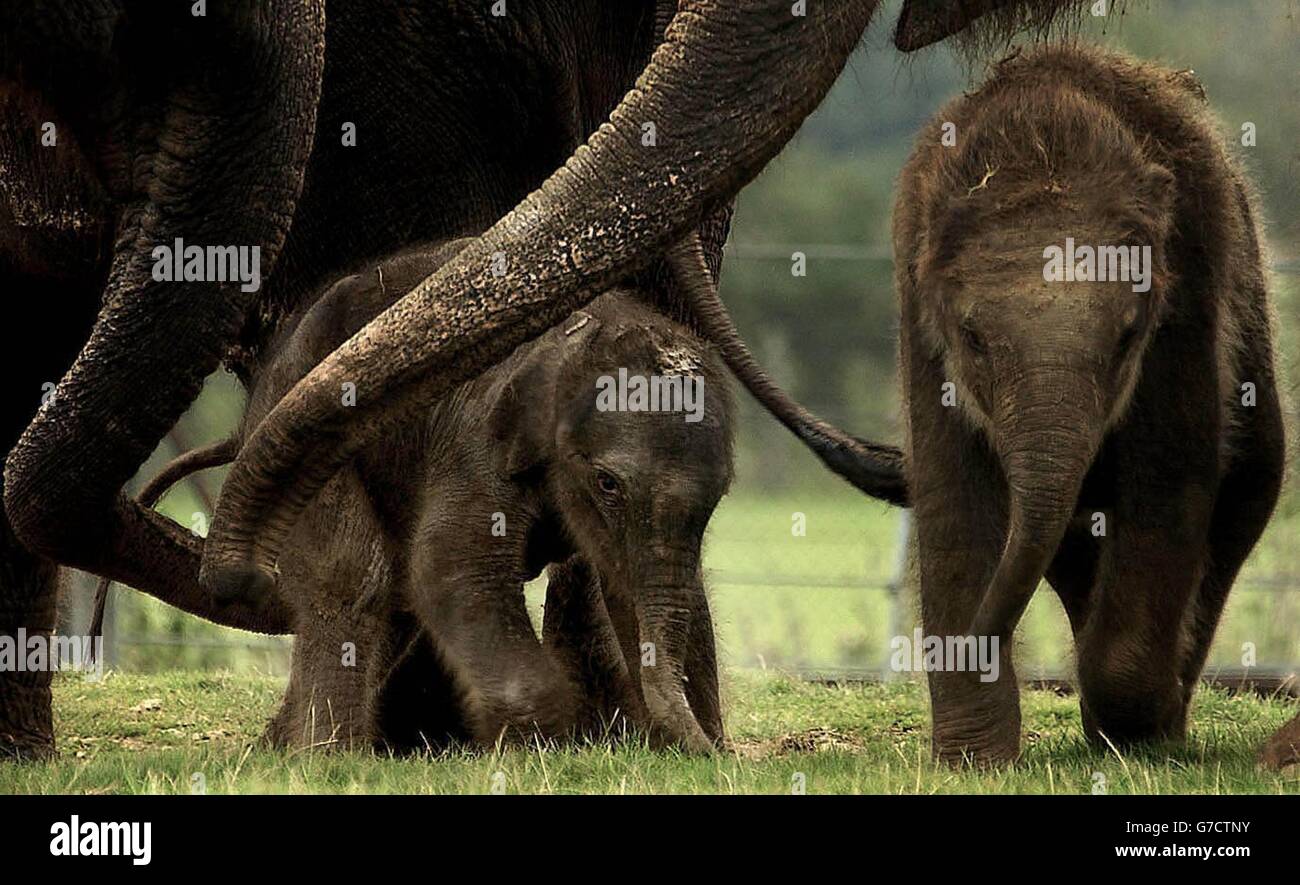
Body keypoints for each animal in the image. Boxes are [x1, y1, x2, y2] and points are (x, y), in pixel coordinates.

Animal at [892, 43, 1284, 765]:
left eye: (1128, 336)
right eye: (973, 339)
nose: (985, 640)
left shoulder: (1190, 283)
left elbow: (1169, 480)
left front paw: (1133, 732)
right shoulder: (915, 297)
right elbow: (949, 488)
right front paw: (973, 761)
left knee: (1234, 515)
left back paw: (1156, 724)